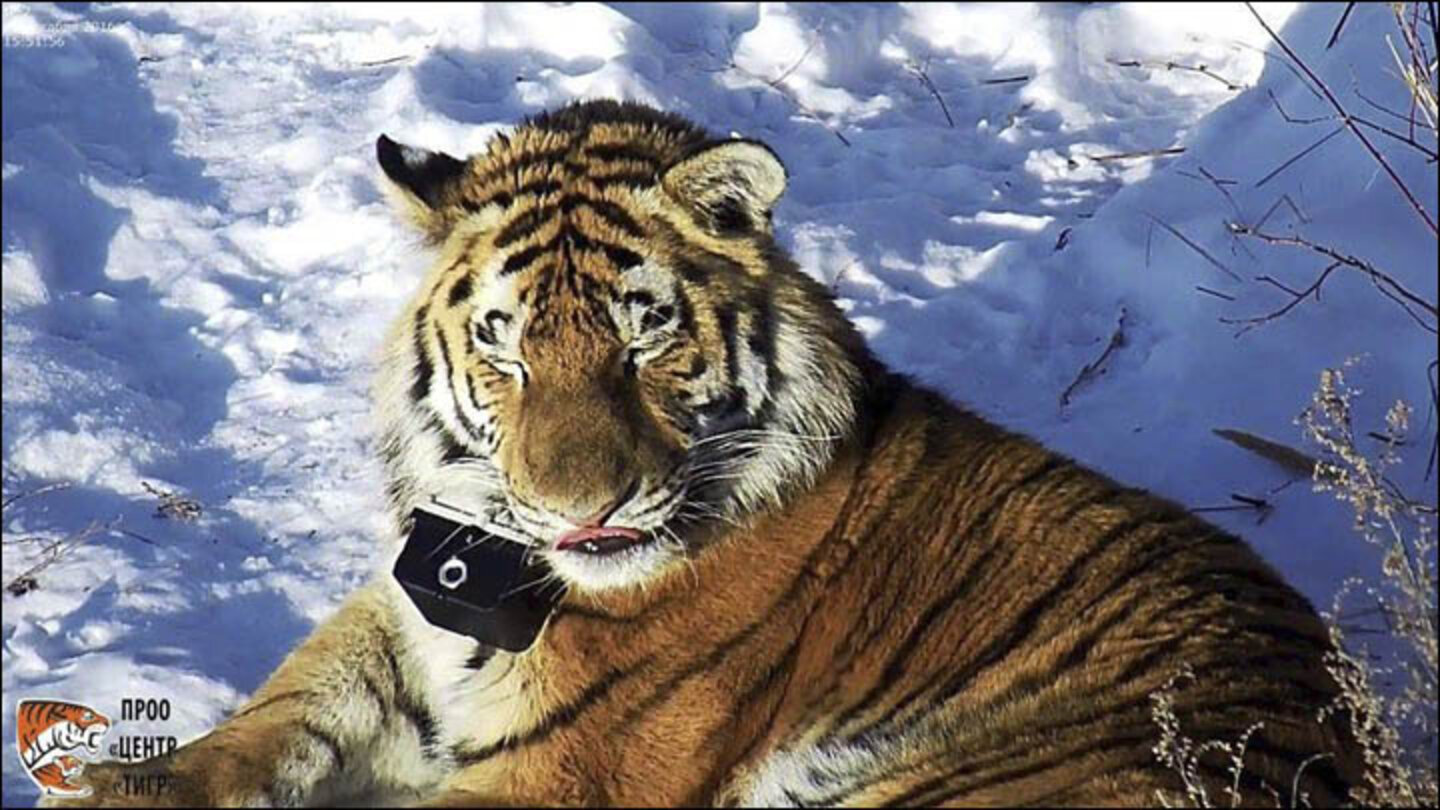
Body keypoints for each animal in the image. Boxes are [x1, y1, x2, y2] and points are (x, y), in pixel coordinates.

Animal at [45, 99, 1363, 807]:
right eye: (505, 347)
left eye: (644, 338)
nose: (583, 509)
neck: (504, 562)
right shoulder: (397, 614)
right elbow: (278, 712)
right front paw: (127, 780)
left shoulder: (563, 773)